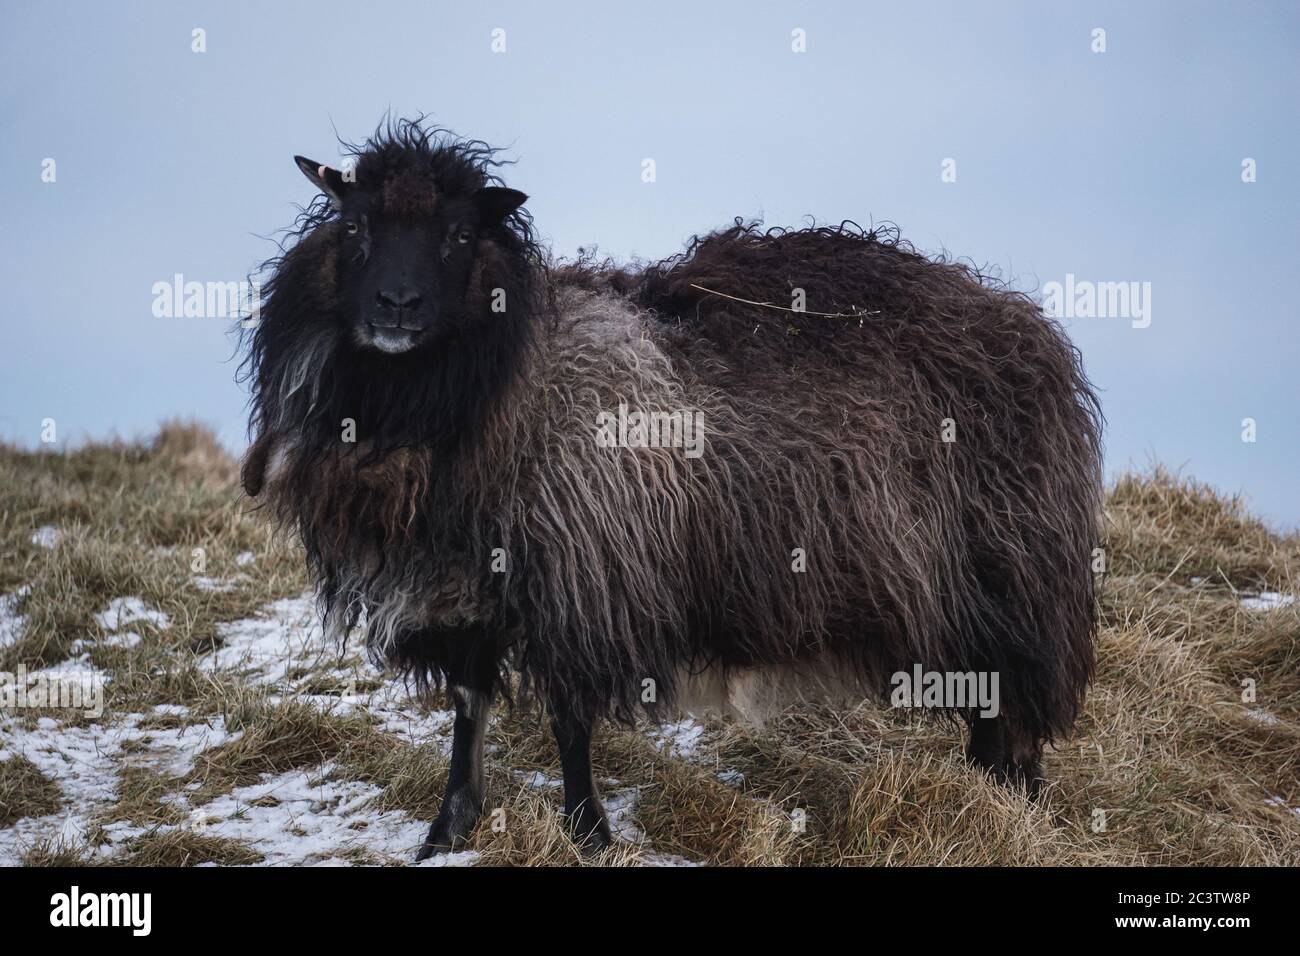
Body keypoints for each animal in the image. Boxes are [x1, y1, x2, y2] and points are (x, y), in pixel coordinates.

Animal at [239, 118, 1103, 858]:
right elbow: (468, 709)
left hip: (1013, 583)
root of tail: (1023, 324)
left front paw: (588, 833)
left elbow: (569, 721)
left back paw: (1016, 812)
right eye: (355, 227)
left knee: (1013, 714)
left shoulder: (585, 576)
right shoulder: (462, 589)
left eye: (458, 235)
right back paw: (992, 802)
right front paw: (448, 832)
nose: (396, 306)